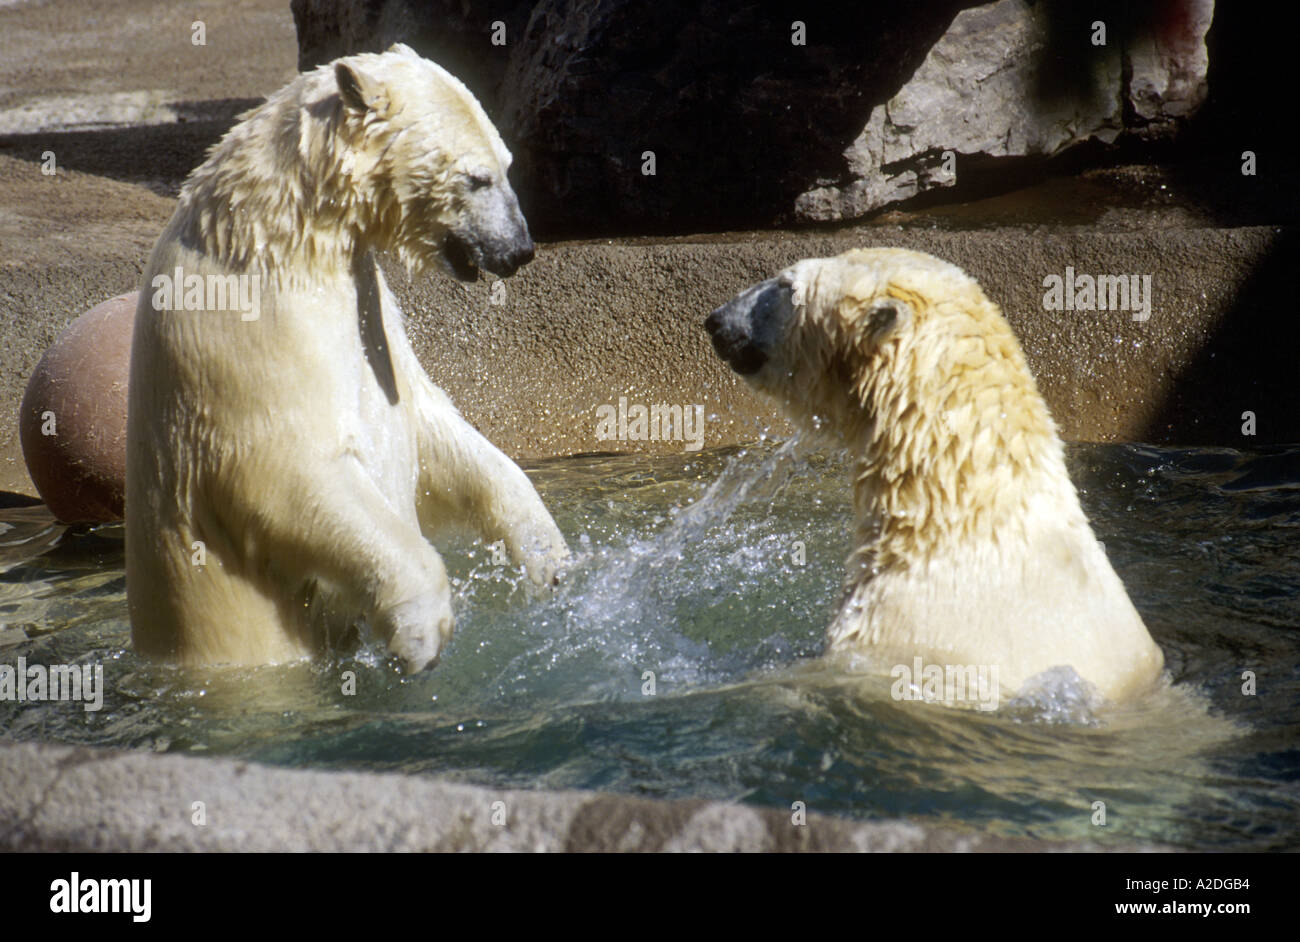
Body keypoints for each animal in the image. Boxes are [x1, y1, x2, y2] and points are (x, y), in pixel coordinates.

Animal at [126, 45, 569, 673]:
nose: (520, 249)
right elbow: (287, 469)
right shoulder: (249, 333)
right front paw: (421, 633)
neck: (281, 237)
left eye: (506, 164)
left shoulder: (373, 318)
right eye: (476, 177)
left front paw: (548, 557)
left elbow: (431, 427)